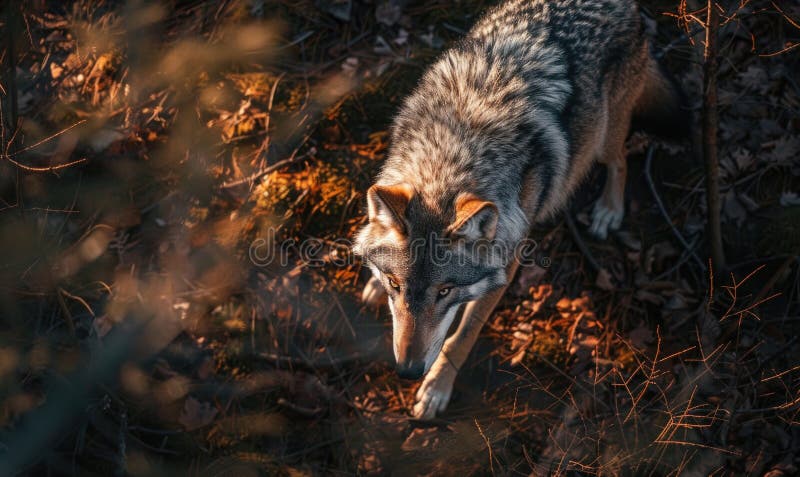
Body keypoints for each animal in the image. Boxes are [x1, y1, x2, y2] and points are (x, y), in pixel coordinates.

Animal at [353, 0, 687, 419]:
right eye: (396, 285)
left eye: (446, 291)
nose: (409, 372)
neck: (454, 151)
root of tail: (627, 6)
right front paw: (373, 285)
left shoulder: (506, 264)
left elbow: (462, 336)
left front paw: (436, 390)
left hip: (602, 134)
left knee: (622, 160)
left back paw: (608, 211)